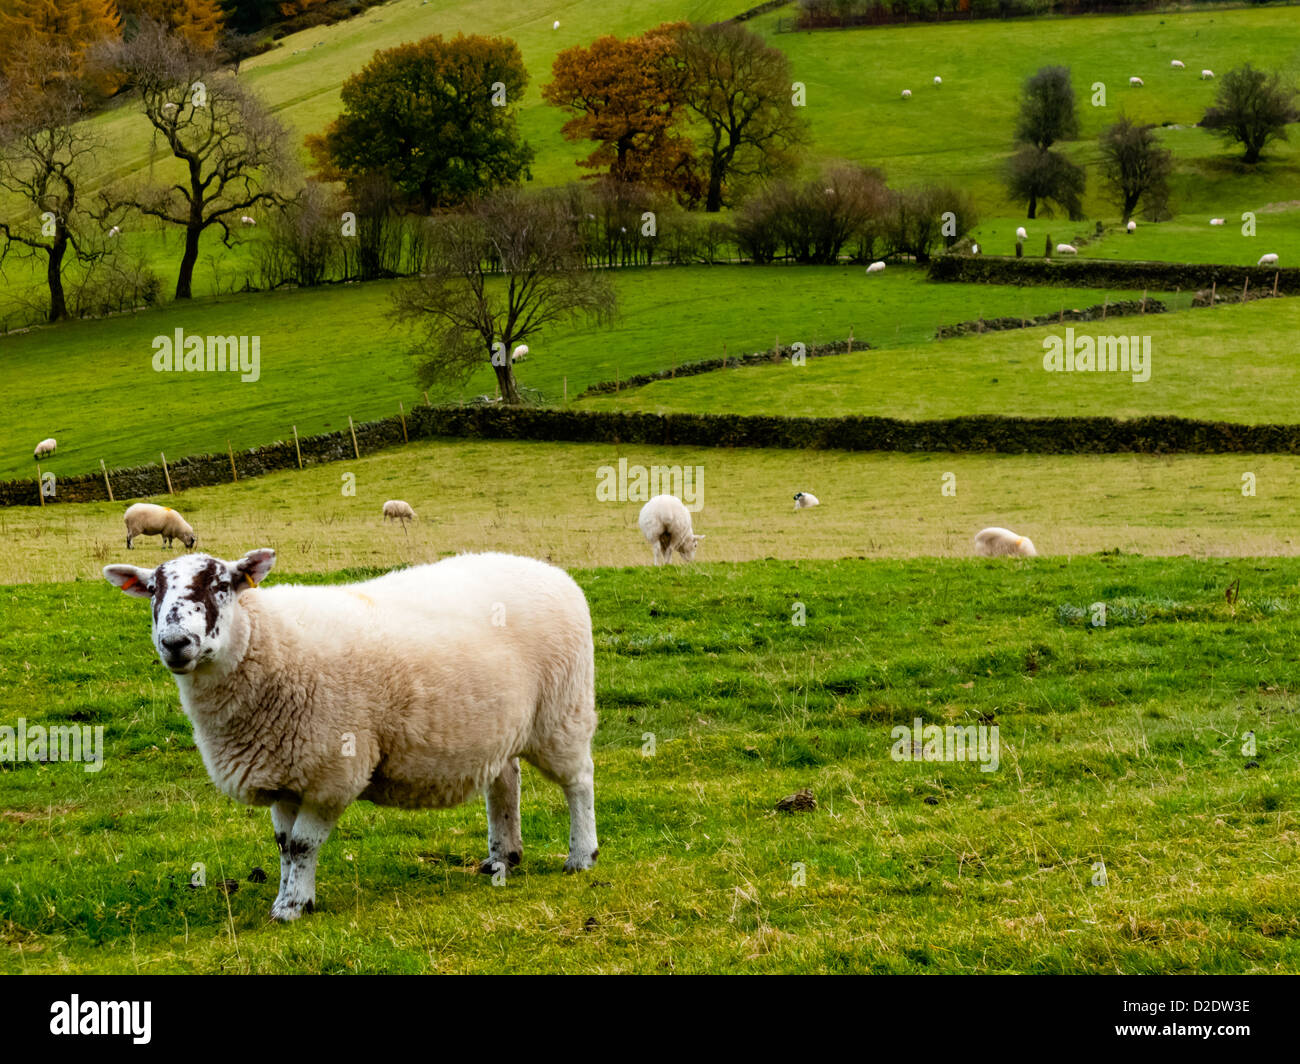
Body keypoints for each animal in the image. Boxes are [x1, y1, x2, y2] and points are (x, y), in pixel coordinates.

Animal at [103, 549, 599, 922]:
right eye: (153, 589)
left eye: (222, 585)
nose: (175, 643)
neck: (268, 642)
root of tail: (553, 572)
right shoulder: (284, 769)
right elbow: (283, 845)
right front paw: (288, 895)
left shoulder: (331, 773)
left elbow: (302, 843)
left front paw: (292, 907)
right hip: (499, 724)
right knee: (505, 781)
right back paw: (502, 857)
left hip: (561, 712)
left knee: (579, 782)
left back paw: (581, 856)